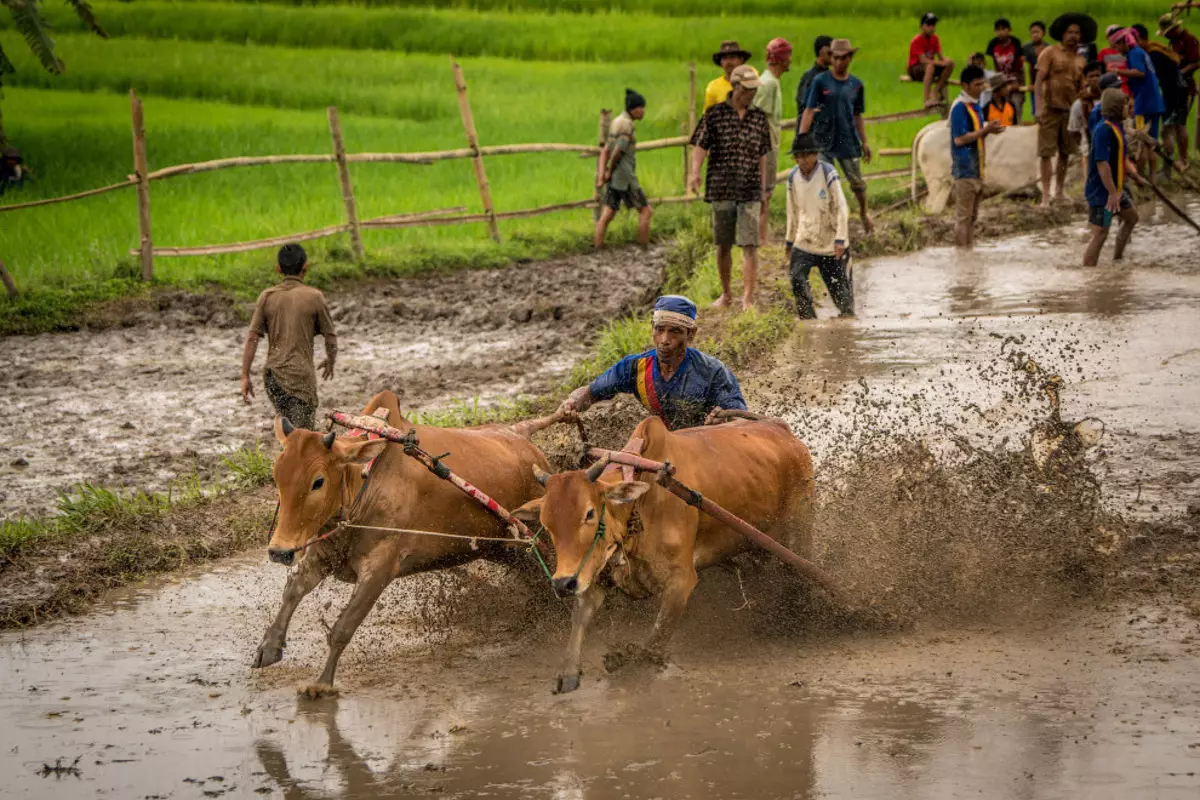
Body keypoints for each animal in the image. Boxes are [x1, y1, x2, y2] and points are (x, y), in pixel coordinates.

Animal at [258, 391, 552, 690]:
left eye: (318, 482)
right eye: (277, 476)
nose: (279, 552)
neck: (364, 482)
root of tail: (521, 436)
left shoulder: (380, 569)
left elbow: (343, 628)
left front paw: (322, 684)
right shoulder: (321, 553)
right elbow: (293, 590)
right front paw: (269, 647)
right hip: (500, 549)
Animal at [511, 417, 811, 690]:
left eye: (589, 514)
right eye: (546, 524)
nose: (563, 584)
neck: (639, 505)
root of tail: (783, 431)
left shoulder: (681, 581)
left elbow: (656, 636)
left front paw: (630, 663)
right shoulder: (593, 576)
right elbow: (579, 621)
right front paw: (569, 674)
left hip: (796, 531)